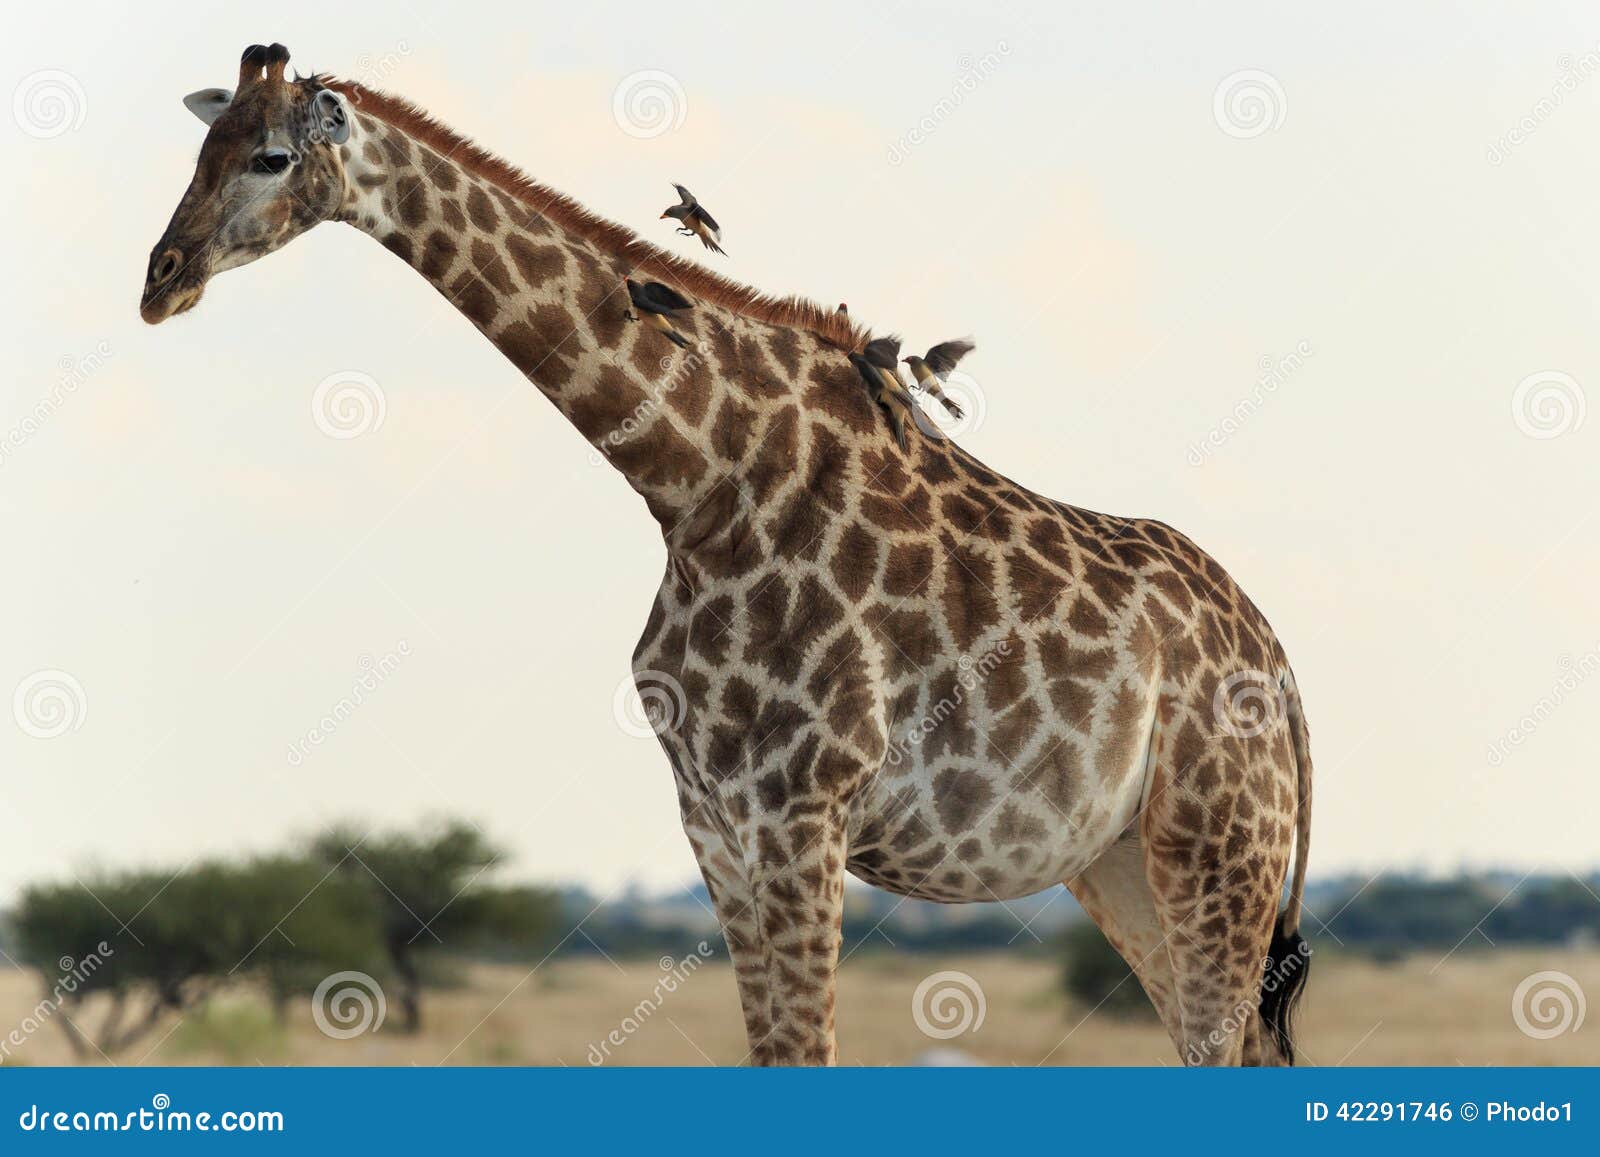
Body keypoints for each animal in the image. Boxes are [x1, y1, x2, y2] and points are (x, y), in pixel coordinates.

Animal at [140, 45, 1314, 1066]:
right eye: (201, 148)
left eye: (271, 157)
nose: (161, 278)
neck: (694, 483)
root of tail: (1280, 666)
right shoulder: (711, 814)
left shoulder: (803, 806)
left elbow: (808, 1050)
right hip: (1123, 862)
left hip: (1217, 847)